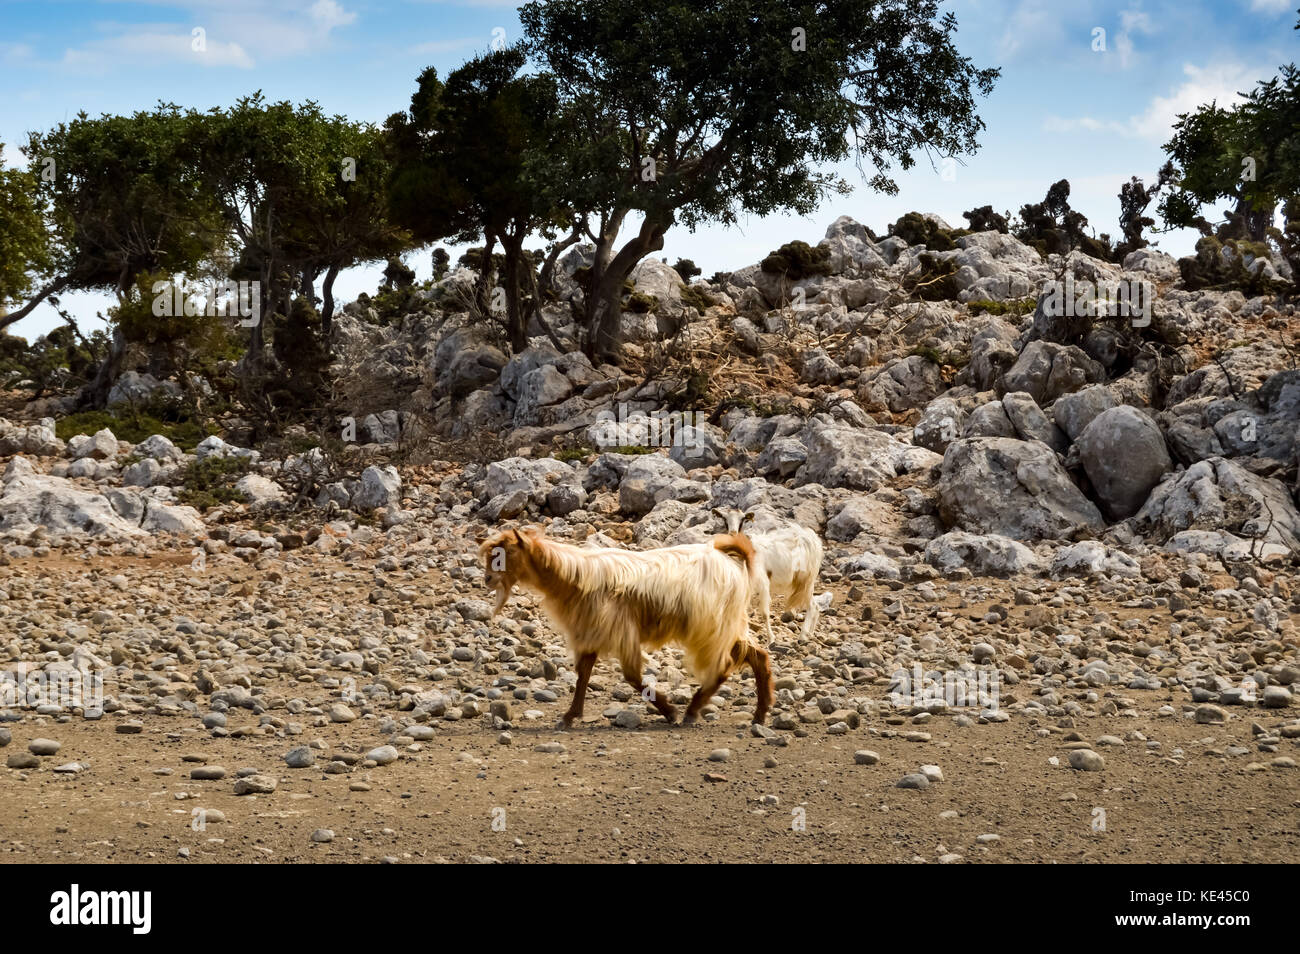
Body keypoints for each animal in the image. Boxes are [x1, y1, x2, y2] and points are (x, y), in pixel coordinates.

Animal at [478, 525, 774, 727]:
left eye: (507, 552)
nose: (487, 579)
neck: (572, 577)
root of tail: (731, 561)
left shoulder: (619, 630)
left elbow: (631, 676)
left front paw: (669, 711)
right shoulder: (590, 631)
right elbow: (584, 673)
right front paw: (570, 715)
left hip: (711, 626)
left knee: (724, 666)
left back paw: (693, 710)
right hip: (725, 626)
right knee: (756, 655)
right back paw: (759, 714)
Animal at [711, 508, 824, 642]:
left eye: (743, 519)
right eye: (724, 519)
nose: (733, 533)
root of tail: (812, 538)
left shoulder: (763, 583)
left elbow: (765, 613)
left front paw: (771, 639)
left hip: (806, 580)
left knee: (812, 605)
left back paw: (802, 636)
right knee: (816, 605)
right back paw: (810, 633)